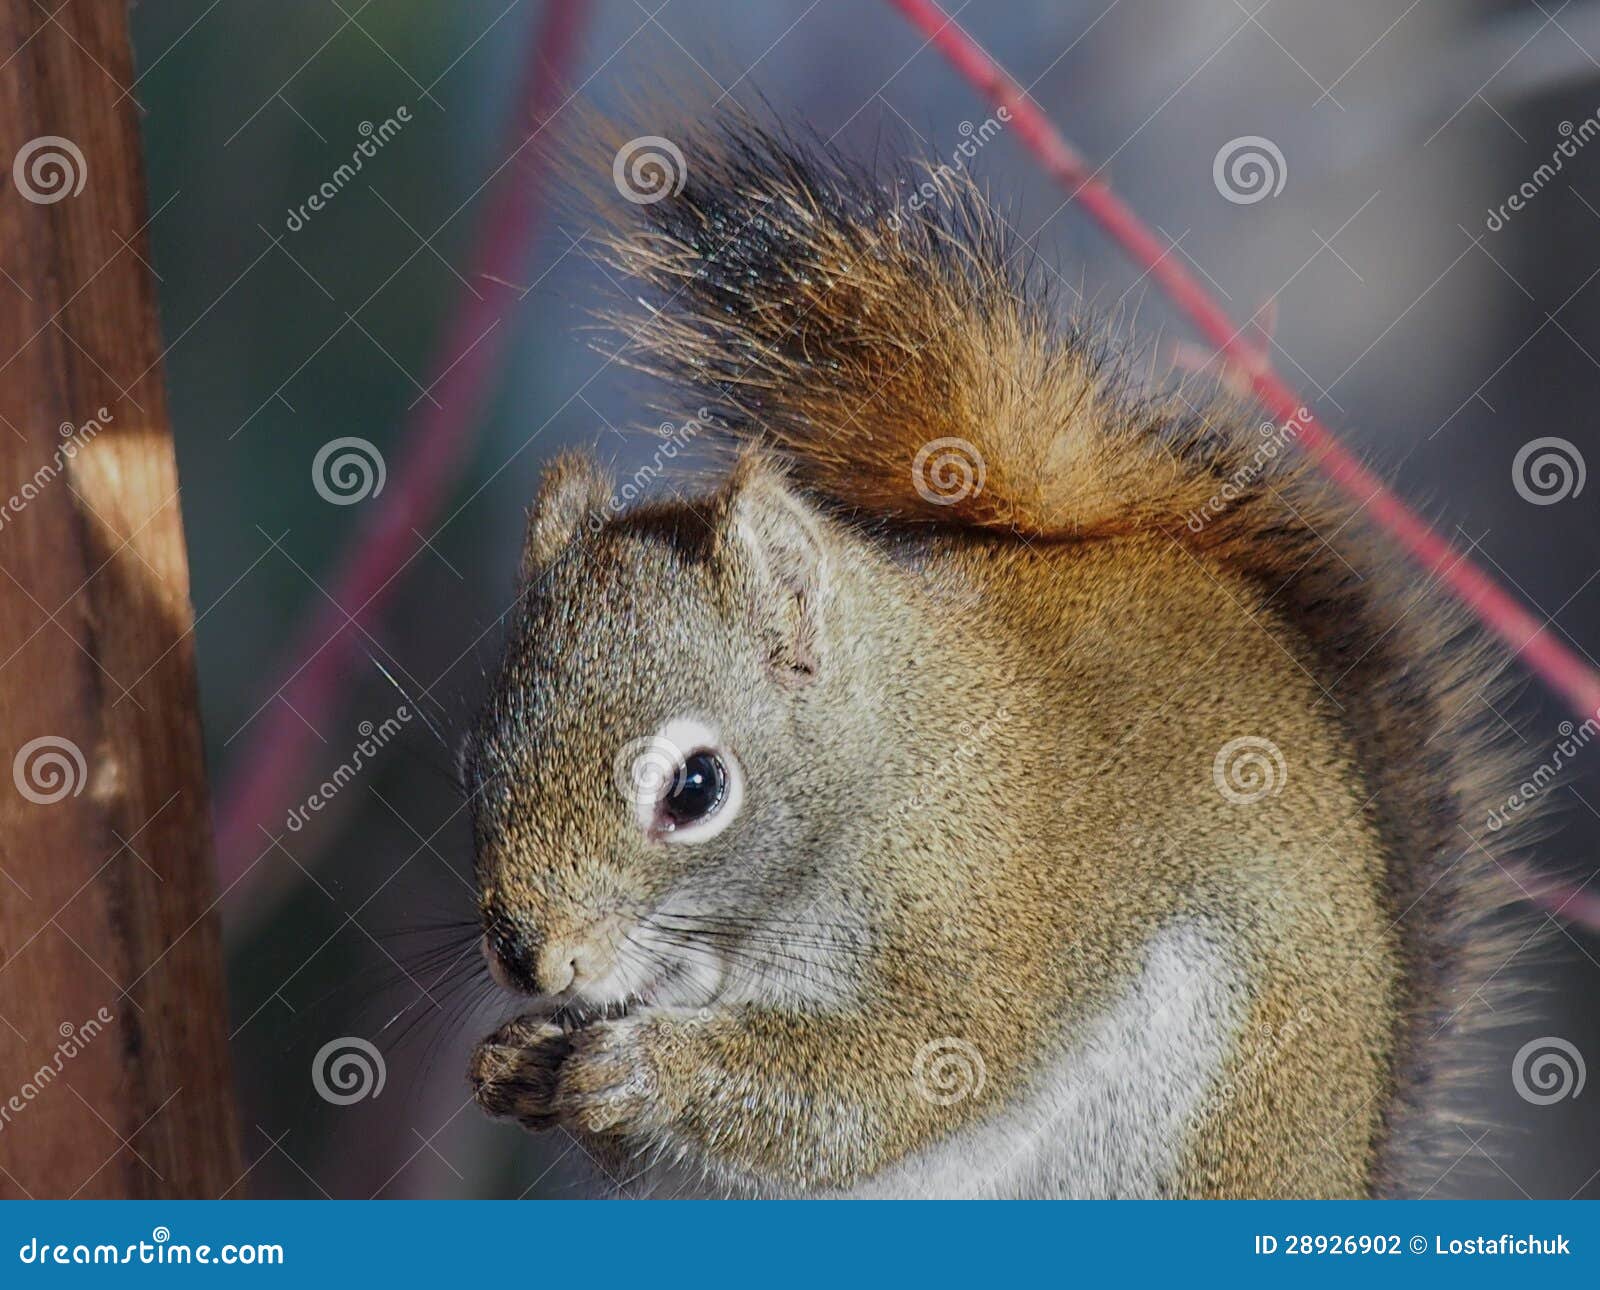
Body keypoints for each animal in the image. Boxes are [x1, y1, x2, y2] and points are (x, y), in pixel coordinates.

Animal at [460, 110, 1534, 1198]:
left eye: (694, 789)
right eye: (479, 762)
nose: (530, 959)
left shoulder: (982, 912)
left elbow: (894, 1073)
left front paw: (641, 1069)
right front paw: (519, 1058)